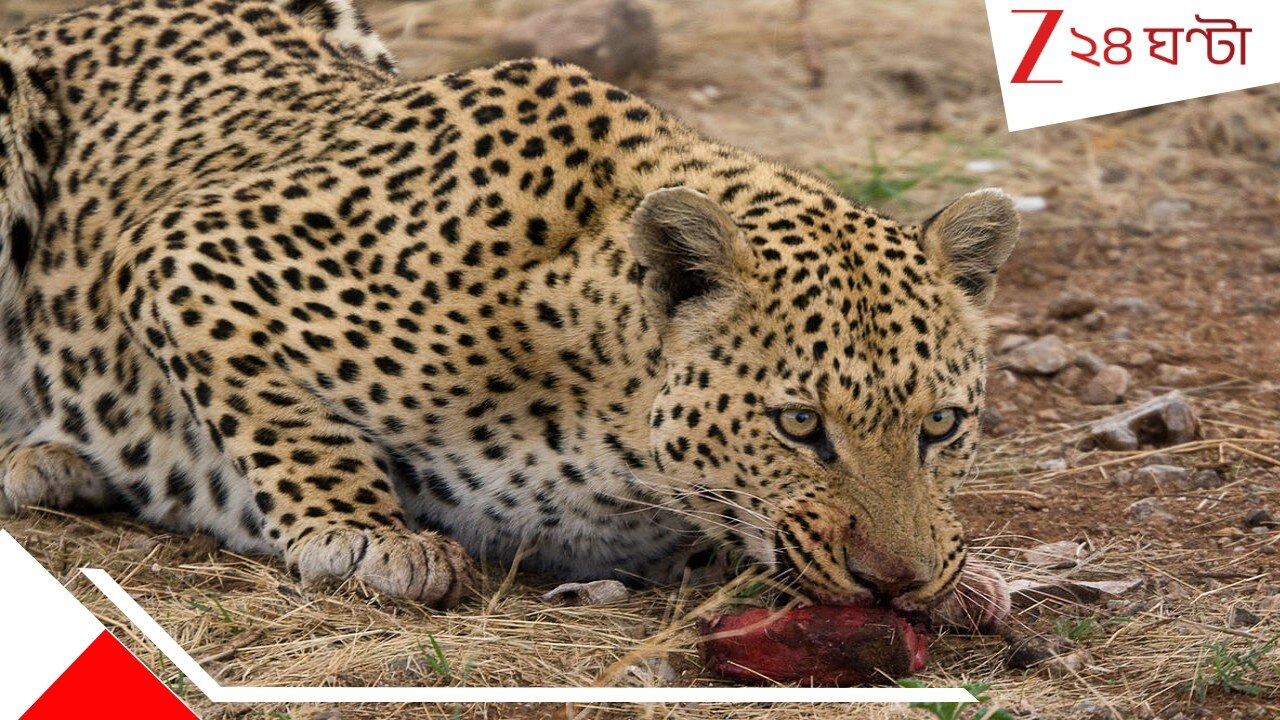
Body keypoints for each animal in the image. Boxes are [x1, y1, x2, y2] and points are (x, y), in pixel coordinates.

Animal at [0, 0, 1017, 630]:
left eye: (941, 426)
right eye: (800, 425)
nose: (897, 582)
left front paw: (969, 580)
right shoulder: (192, 247)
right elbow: (288, 423)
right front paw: (369, 535)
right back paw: (37, 459)